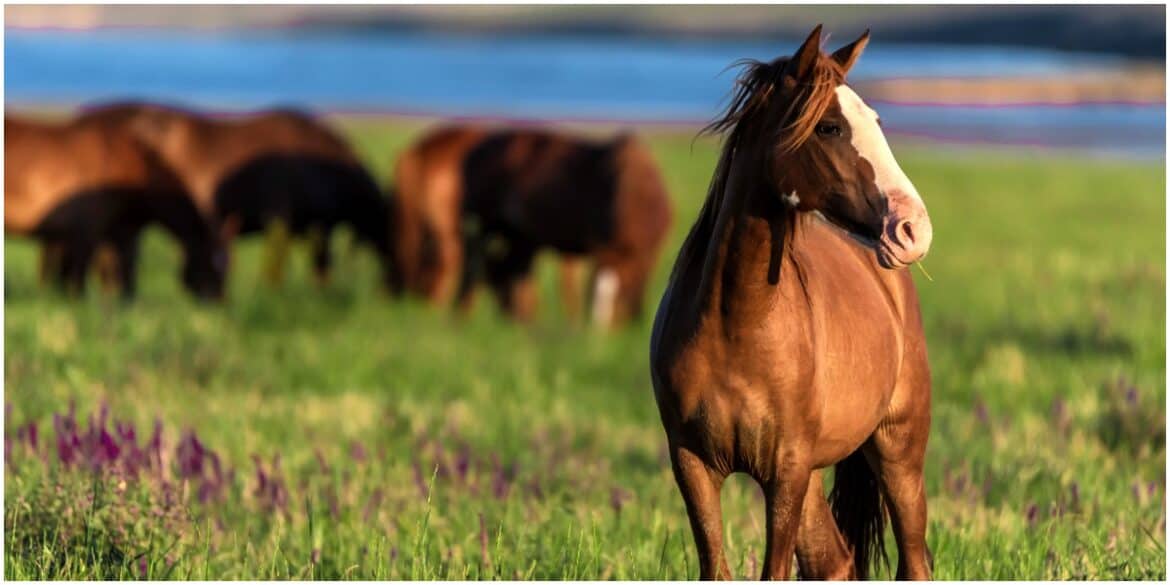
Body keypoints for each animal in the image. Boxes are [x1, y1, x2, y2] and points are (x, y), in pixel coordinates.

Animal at [4, 114, 227, 299]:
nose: (217, 300)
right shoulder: (86, 231)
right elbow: (78, 275)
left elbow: (116, 271)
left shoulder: (114, 232)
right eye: (215, 263)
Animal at [392, 124, 673, 327]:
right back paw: (463, 317)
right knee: (472, 272)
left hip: (517, 239)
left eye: (623, 291)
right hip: (480, 230)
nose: (598, 335)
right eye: (593, 293)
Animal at [649, 27, 933, 580]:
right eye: (828, 126)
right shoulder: (693, 465)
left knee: (913, 559)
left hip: (898, 455)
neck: (737, 323)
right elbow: (717, 566)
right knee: (836, 561)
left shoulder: (787, 469)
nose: (912, 228)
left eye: (876, 121)